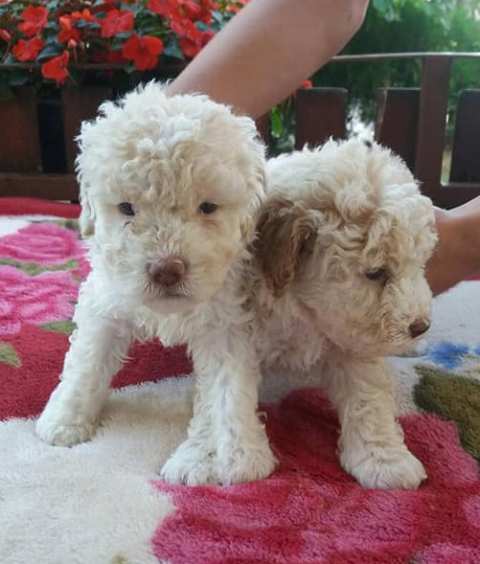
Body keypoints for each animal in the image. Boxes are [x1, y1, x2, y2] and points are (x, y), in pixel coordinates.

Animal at [35, 82, 276, 484]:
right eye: (126, 208)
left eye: (208, 207)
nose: (166, 270)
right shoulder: (106, 299)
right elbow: (87, 358)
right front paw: (65, 419)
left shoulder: (227, 319)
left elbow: (229, 386)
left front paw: (242, 454)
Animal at [255, 140, 438, 490]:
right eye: (376, 273)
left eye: (419, 265)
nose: (421, 326)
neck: (304, 308)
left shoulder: (354, 339)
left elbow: (368, 398)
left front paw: (385, 460)